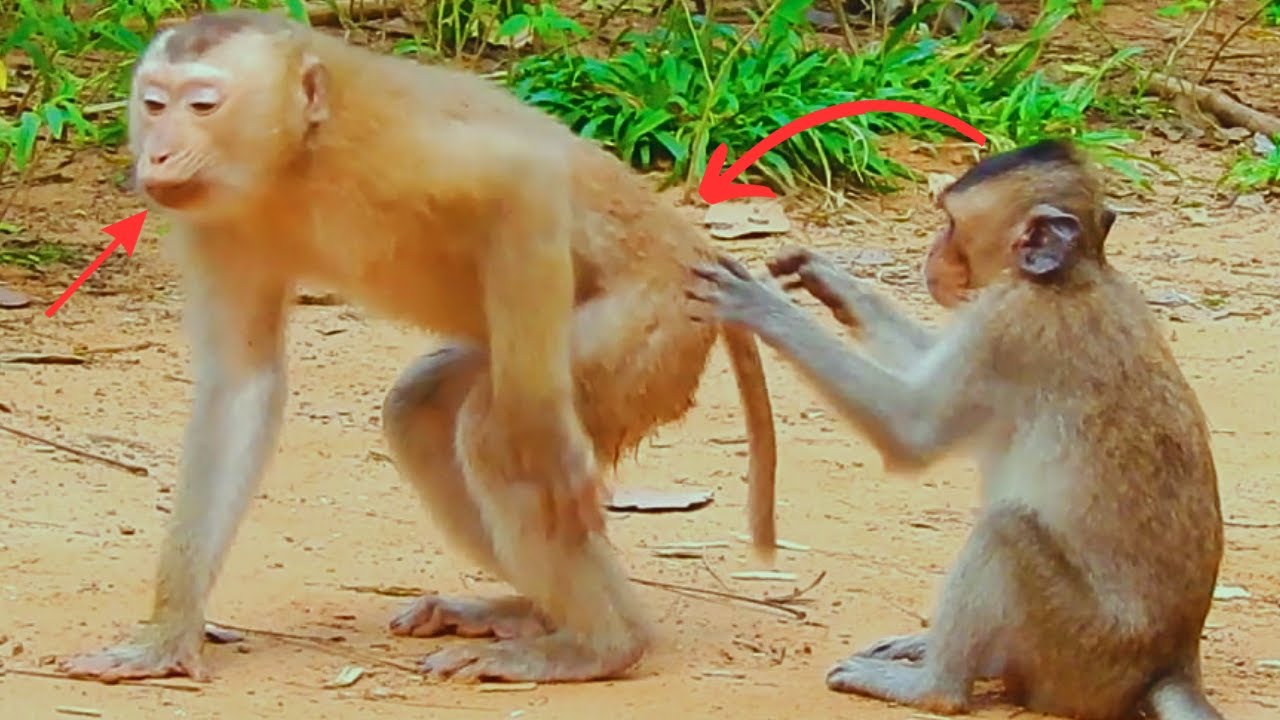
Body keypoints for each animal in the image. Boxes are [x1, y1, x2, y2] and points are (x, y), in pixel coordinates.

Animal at [58, 9, 779, 685]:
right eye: (154, 104)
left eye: (202, 106)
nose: (156, 154)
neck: (298, 156)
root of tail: (699, 258)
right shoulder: (217, 222)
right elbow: (241, 388)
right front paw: (167, 637)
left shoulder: (392, 150)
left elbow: (524, 184)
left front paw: (544, 436)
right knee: (422, 409)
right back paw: (533, 614)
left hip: (642, 330)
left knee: (498, 432)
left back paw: (599, 645)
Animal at [686, 139, 1227, 720]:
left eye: (950, 223)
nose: (931, 253)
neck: (1068, 275)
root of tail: (1169, 661)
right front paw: (833, 283)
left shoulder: (1006, 326)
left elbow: (911, 428)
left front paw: (760, 305)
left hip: (1080, 652)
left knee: (1004, 530)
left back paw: (933, 685)